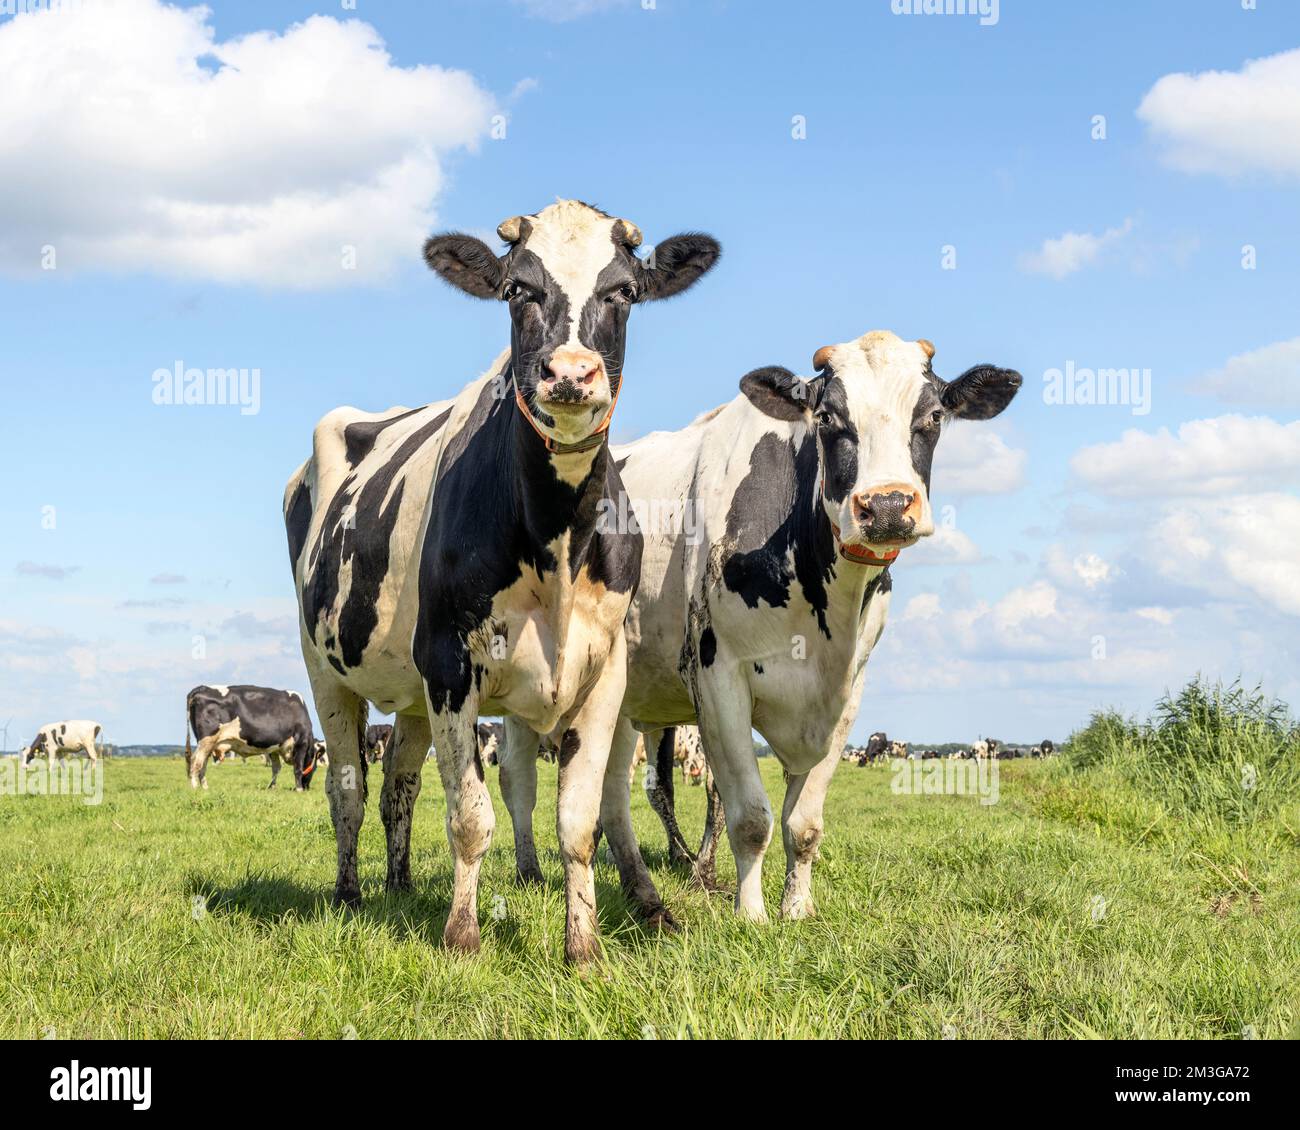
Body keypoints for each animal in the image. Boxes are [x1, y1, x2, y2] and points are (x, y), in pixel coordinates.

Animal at [184, 685, 321, 791]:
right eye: (314, 769)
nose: (307, 787)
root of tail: (202, 688)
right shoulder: (301, 742)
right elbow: (298, 768)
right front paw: (298, 789)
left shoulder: (274, 748)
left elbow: (276, 768)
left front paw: (272, 787)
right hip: (207, 739)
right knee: (196, 761)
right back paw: (195, 788)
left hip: (208, 743)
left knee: (203, 763)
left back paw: (205, 788)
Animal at [285, 199, 720, 963]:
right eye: (519, 289)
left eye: (624, 292)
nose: (570, 373)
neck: (556, 537)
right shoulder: (450, 663)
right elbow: (469, 815)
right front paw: (462, 935)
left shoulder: (604, 671)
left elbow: (579, 820)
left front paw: (584, 949)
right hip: (326, 667)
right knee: (348, 787)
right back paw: (350, 893)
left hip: (409, 689)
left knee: (399, 782)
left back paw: (399, 885)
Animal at [500, 329, 1021, 923]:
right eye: (827, 417)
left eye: (933, 415)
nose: (887, 505)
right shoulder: (717, 675)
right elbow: (749, 815)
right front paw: (751, 913)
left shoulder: (846, 694)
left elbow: (804, 823)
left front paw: (797, 907)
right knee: (520, 780)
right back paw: (530, 870)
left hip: (624, 693)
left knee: (612, 794)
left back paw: (643, 894)